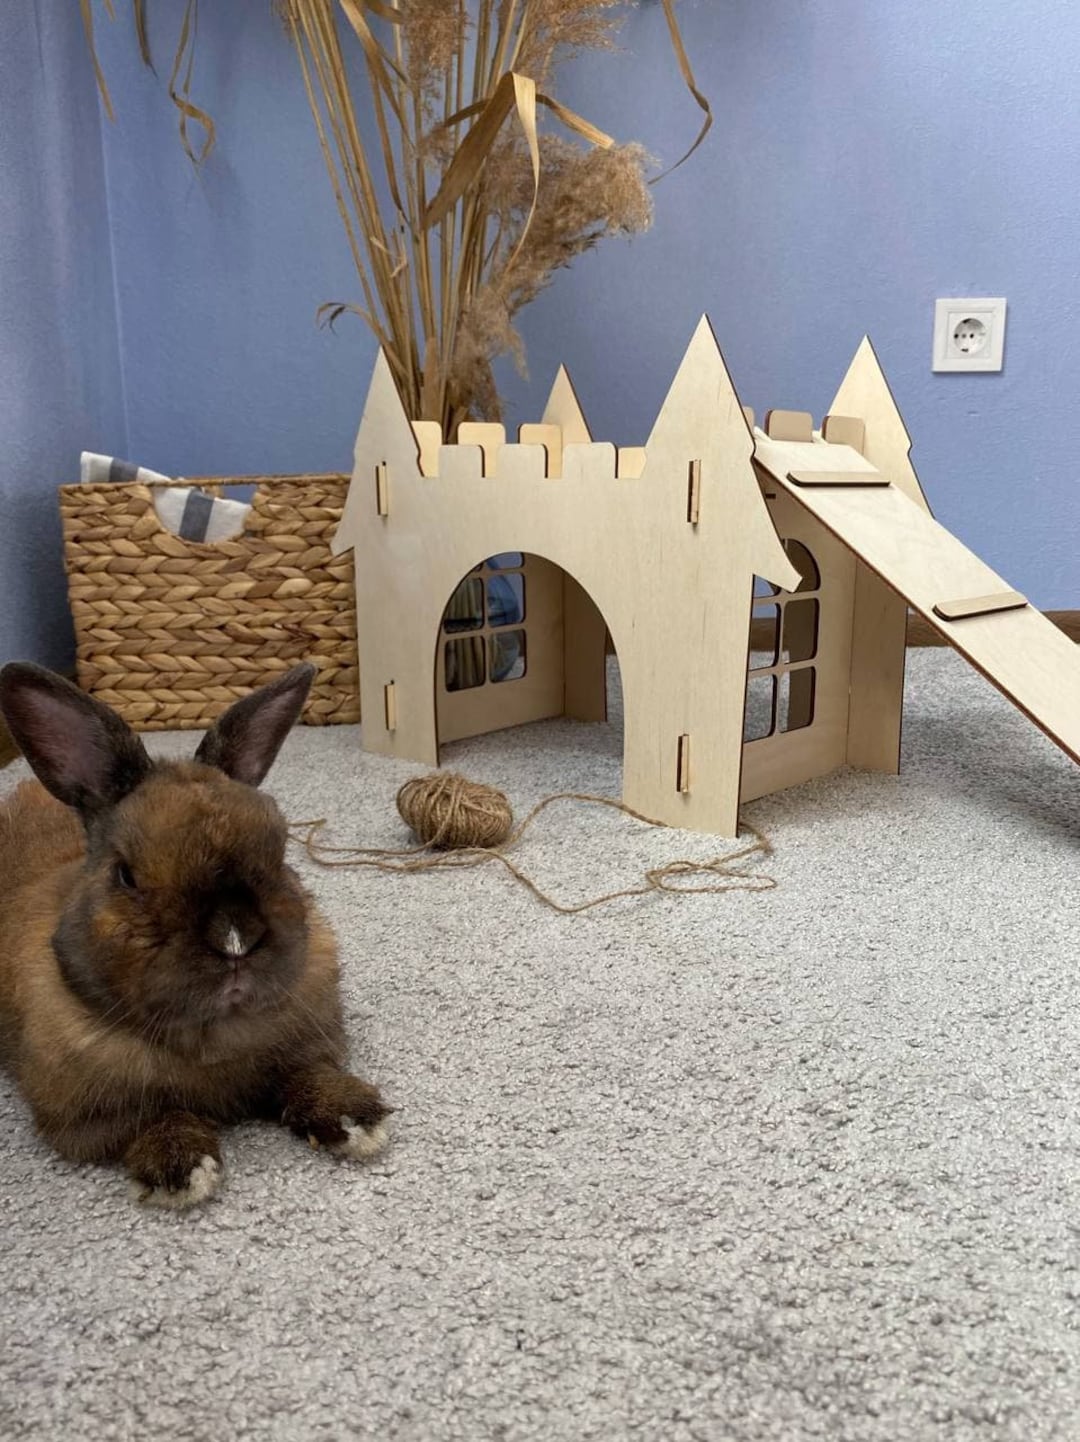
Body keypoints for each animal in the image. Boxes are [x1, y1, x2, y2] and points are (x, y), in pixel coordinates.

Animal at [0, 661, 390, 1209]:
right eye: (126, 876)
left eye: (279, 850)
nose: (235, 941)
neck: (211, 1037)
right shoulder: (86, 1118)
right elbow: (149, 1120)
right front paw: (183, 1168)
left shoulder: (308, 1048)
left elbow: (307, 1074)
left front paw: (355, 1118)